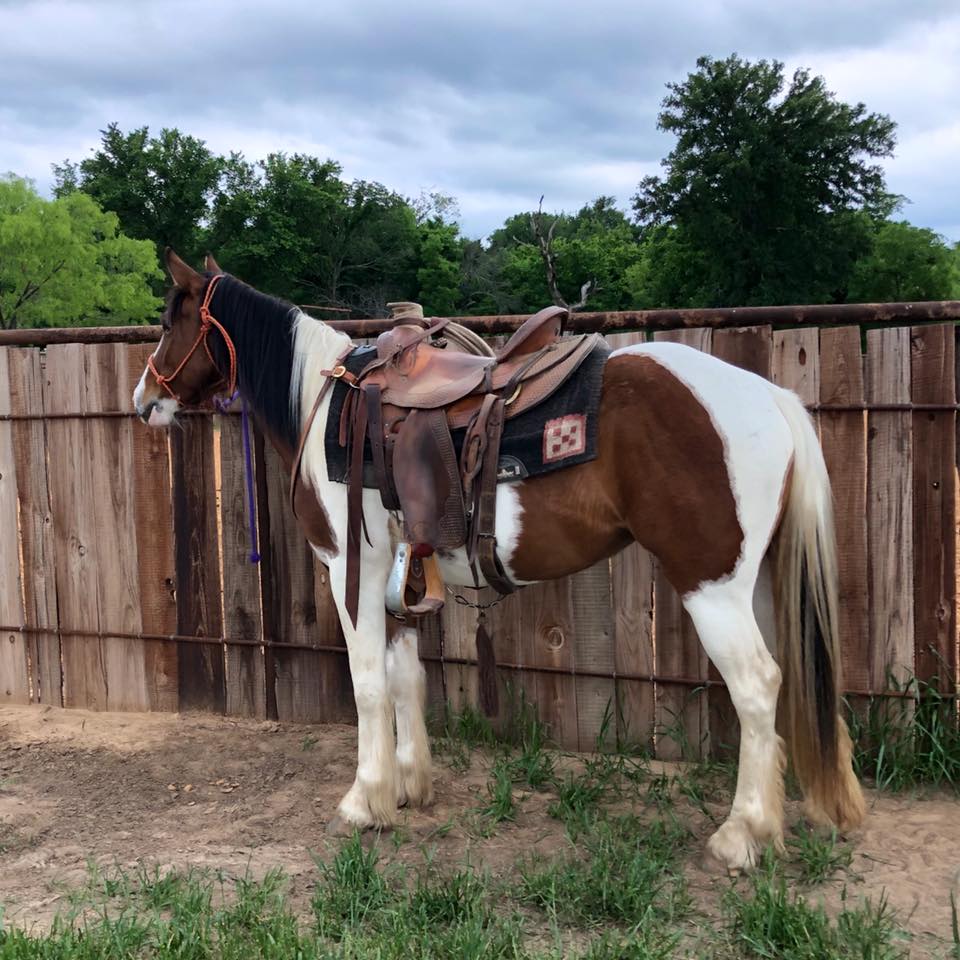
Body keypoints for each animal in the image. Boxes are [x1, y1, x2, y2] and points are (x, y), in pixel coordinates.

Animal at [132, 249, 865, 872]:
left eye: (170, 319)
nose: (144, 400)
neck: (332, 406)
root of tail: (769, 398)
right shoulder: (401, 575)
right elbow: (405, 678)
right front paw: (409, 786)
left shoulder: (353, 569)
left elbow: (369, 685)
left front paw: (365, 801)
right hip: (756, 585)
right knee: (785, 681)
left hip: (711, 587)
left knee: (758, 687)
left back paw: (742, 835)